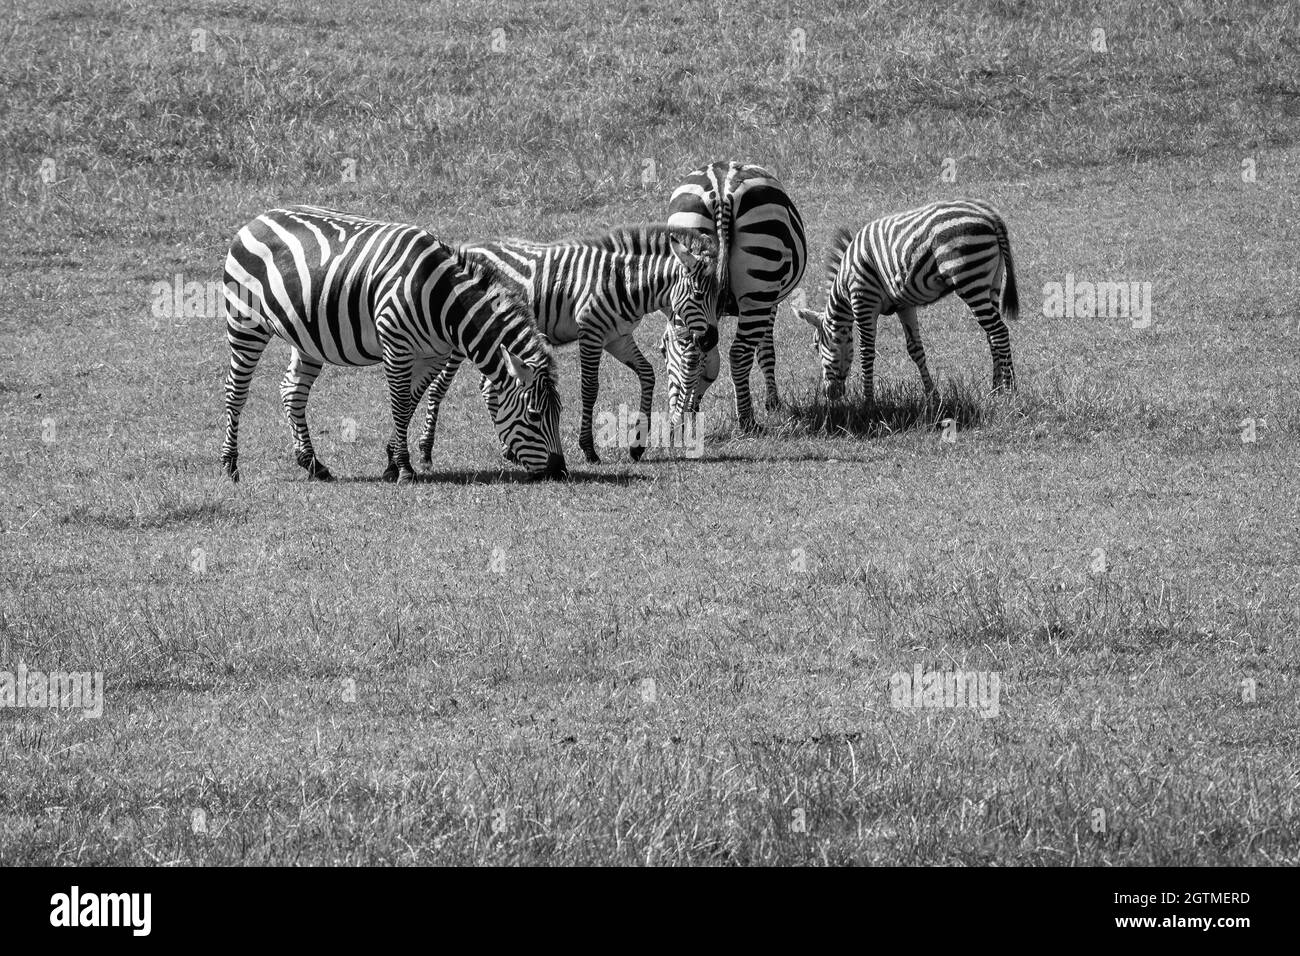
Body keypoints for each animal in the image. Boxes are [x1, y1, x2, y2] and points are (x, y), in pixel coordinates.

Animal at [220, 205, 566, 483]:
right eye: (534, 415)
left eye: (559, 412)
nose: (560, 471)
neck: (442, 301)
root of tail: (257, 219)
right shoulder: (396, 346)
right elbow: (399, 404)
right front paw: (403, 468)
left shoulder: (433, 355)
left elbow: (410, 402)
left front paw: (391, 461)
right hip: (245, 322)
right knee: (236, 390)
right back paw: (230, 466)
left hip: (306, 336)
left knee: (292, 390)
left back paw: (313, 464)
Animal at [415, 225, 720, 465]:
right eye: (698, 294)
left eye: (715, 296)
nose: (711, 340)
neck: (625, 282)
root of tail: (463, 247)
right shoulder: (591, 333)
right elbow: (590, 388)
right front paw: (589, 449)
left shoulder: (618, 338)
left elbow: (648, 374)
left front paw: (637, 444)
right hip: (462, 335)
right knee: (439, 387)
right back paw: (426, 450)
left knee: (489, 387)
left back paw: (508, 449)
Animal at [661, 162, 807, 428]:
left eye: (662, 353)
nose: (672, 413)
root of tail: (721, 191)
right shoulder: (771, 304)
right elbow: (766, 351)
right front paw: (772, 402)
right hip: (758, 289)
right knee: (739, 353)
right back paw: (747, 420)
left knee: (690, 356)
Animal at [795, 199, 1020, 401]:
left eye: (816, 346)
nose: (830, 395)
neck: (844, 288)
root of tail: (989, 214)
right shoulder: (904, 305)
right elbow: (915, 349)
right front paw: (932, 395)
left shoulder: (863, 300)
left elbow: (866, 350)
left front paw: (868, 400)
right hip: (992, 282)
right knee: (991, 334)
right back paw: (995, 390)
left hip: (970, 278)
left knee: (999, 332)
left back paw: (1010, 392)